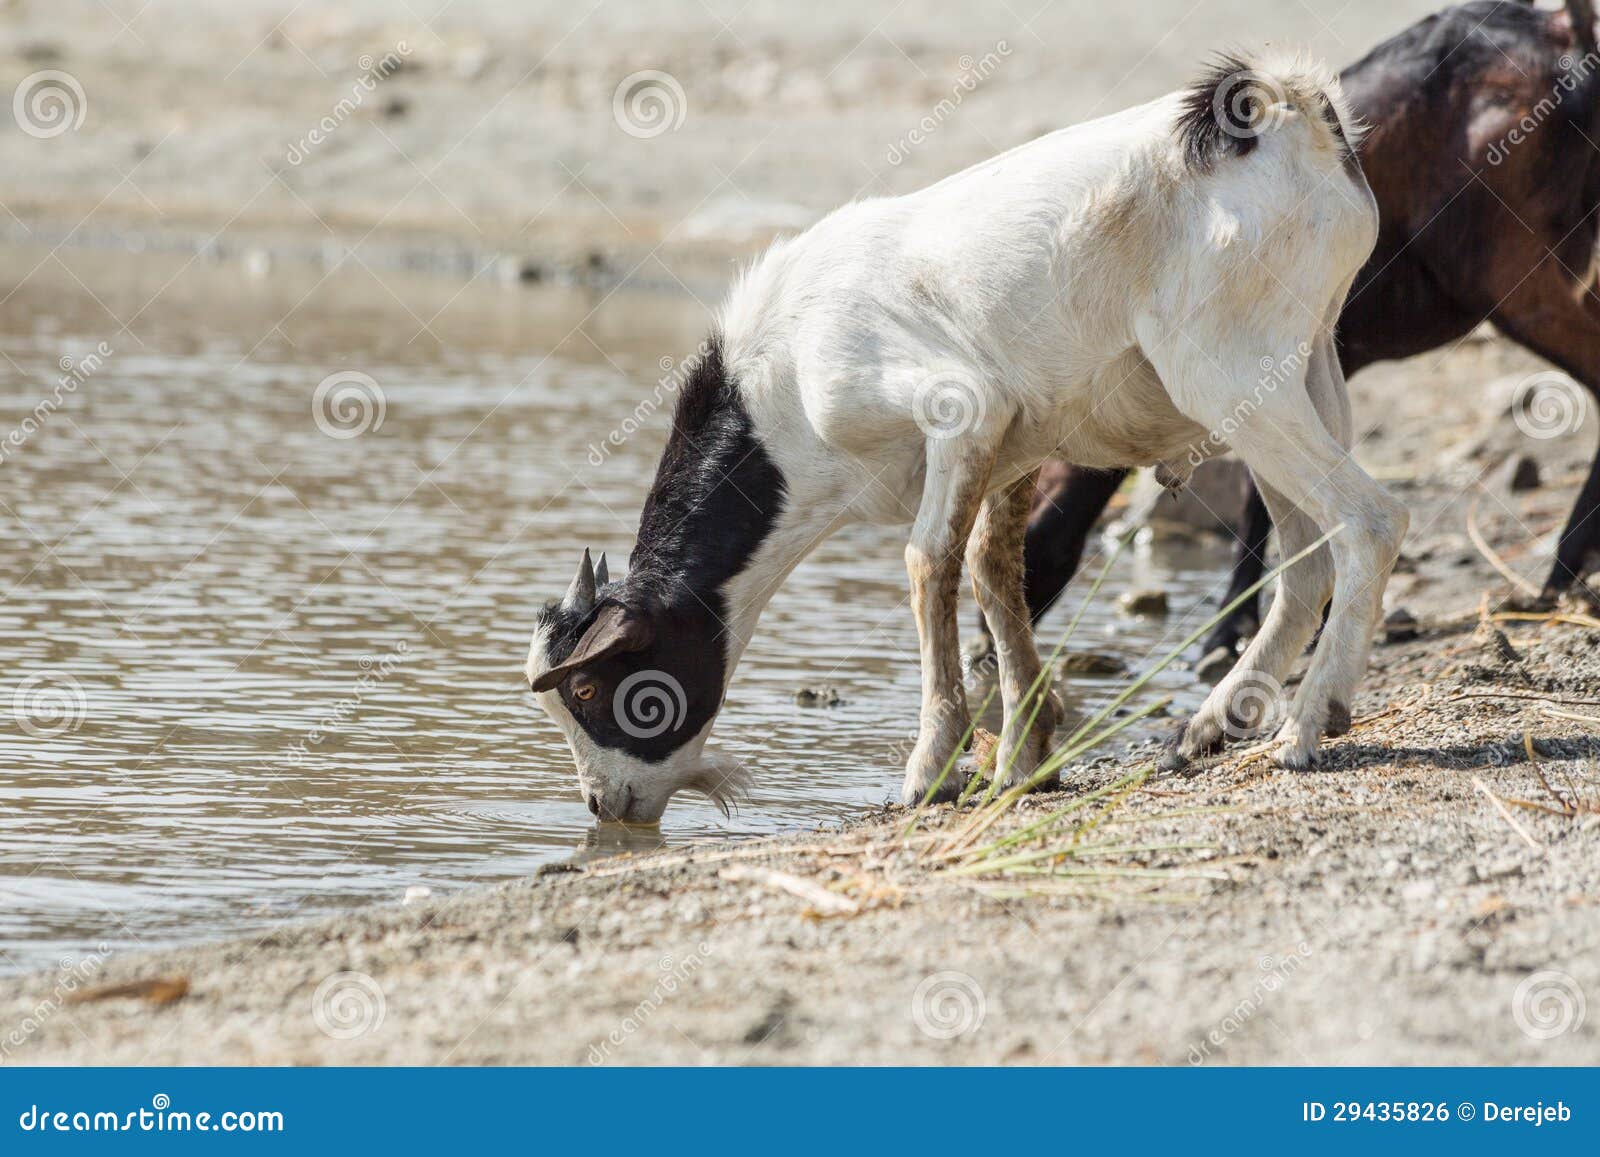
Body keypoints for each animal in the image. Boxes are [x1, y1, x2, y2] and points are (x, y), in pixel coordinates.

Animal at [526, 53, 1397, 823]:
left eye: (588, 688)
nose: (602, 804)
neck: (785, 375)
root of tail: (1285, 105)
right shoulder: (1013, 443)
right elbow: (990, 568)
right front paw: (1022, 759)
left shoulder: (959, 407)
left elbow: (928, 562)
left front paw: (931, 770)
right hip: (1303, 370)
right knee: (1306, 557)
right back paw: (1211, 725)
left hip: (1228, 372)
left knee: (1368, 520)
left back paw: (1306, 726)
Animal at [994, 0, 1600, 674]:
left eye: (1021, 555)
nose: (985, 656)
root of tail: (1562, 28)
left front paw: (1232, 630)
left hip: (1520, 276)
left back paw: (1560, 576)